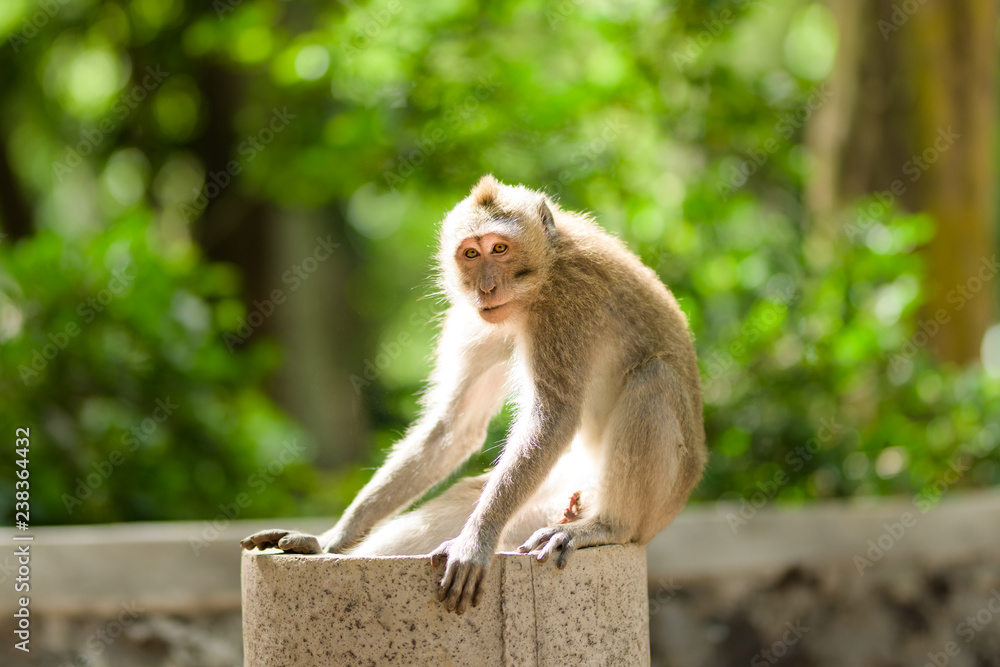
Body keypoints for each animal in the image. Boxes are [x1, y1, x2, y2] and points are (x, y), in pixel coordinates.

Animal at [242, 175, 706, 615]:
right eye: (471, 254)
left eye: (500, 248)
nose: (486, 287)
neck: (542, 275)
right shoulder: (475, 319)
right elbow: (454, 426)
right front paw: (330, 538)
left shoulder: (565, 306)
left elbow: (552, 416)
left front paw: (475, 542)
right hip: (557, 490)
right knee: (470, 495)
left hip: (656, 500)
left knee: (654, 379)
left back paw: (608, 526)